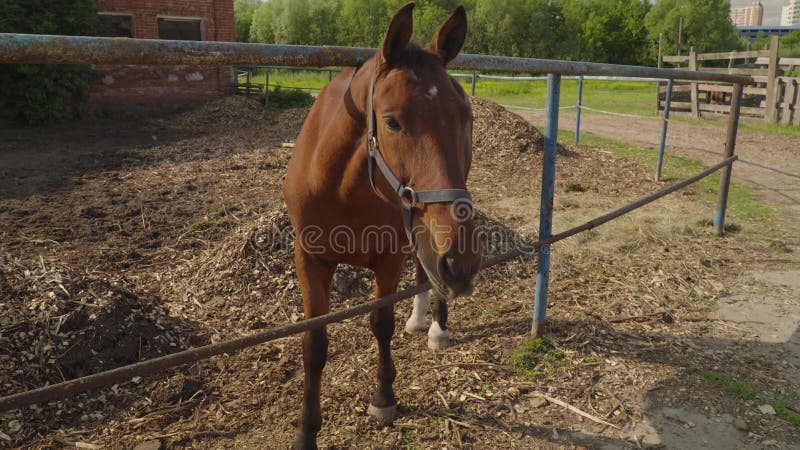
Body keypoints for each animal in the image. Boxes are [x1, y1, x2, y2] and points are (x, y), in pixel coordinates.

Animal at [283, 3, 481, 448]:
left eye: (466, 117)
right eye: (392, 122)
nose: (461, 263)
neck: (340, 187)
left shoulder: (390, 256)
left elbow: (380, 324)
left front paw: (383, 397)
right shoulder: (309, 258)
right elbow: (314, 344)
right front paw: (306, 431)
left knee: (427, 273)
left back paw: (435, 326)